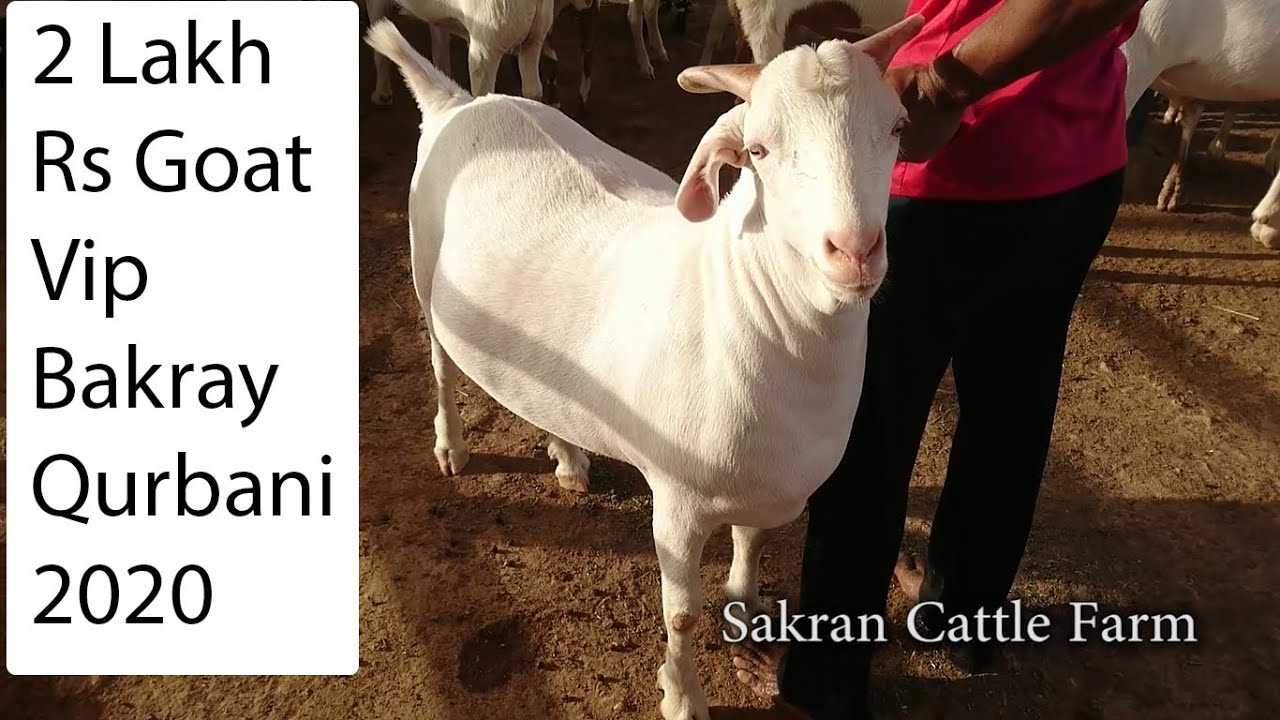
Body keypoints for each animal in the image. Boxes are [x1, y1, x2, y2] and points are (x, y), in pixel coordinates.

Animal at [366, 14, 923, 719]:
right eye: (759, 151)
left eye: (898, 127)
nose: (854, 251)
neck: (736, 302)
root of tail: (459, 103)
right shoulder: (678, 504)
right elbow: (681, 616)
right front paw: (682, 696)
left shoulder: (767, 483)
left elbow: (752, 546)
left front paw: (744, 608)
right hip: (424, 275)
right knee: (439, 368)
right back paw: (452, 447)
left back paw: (568, 456)